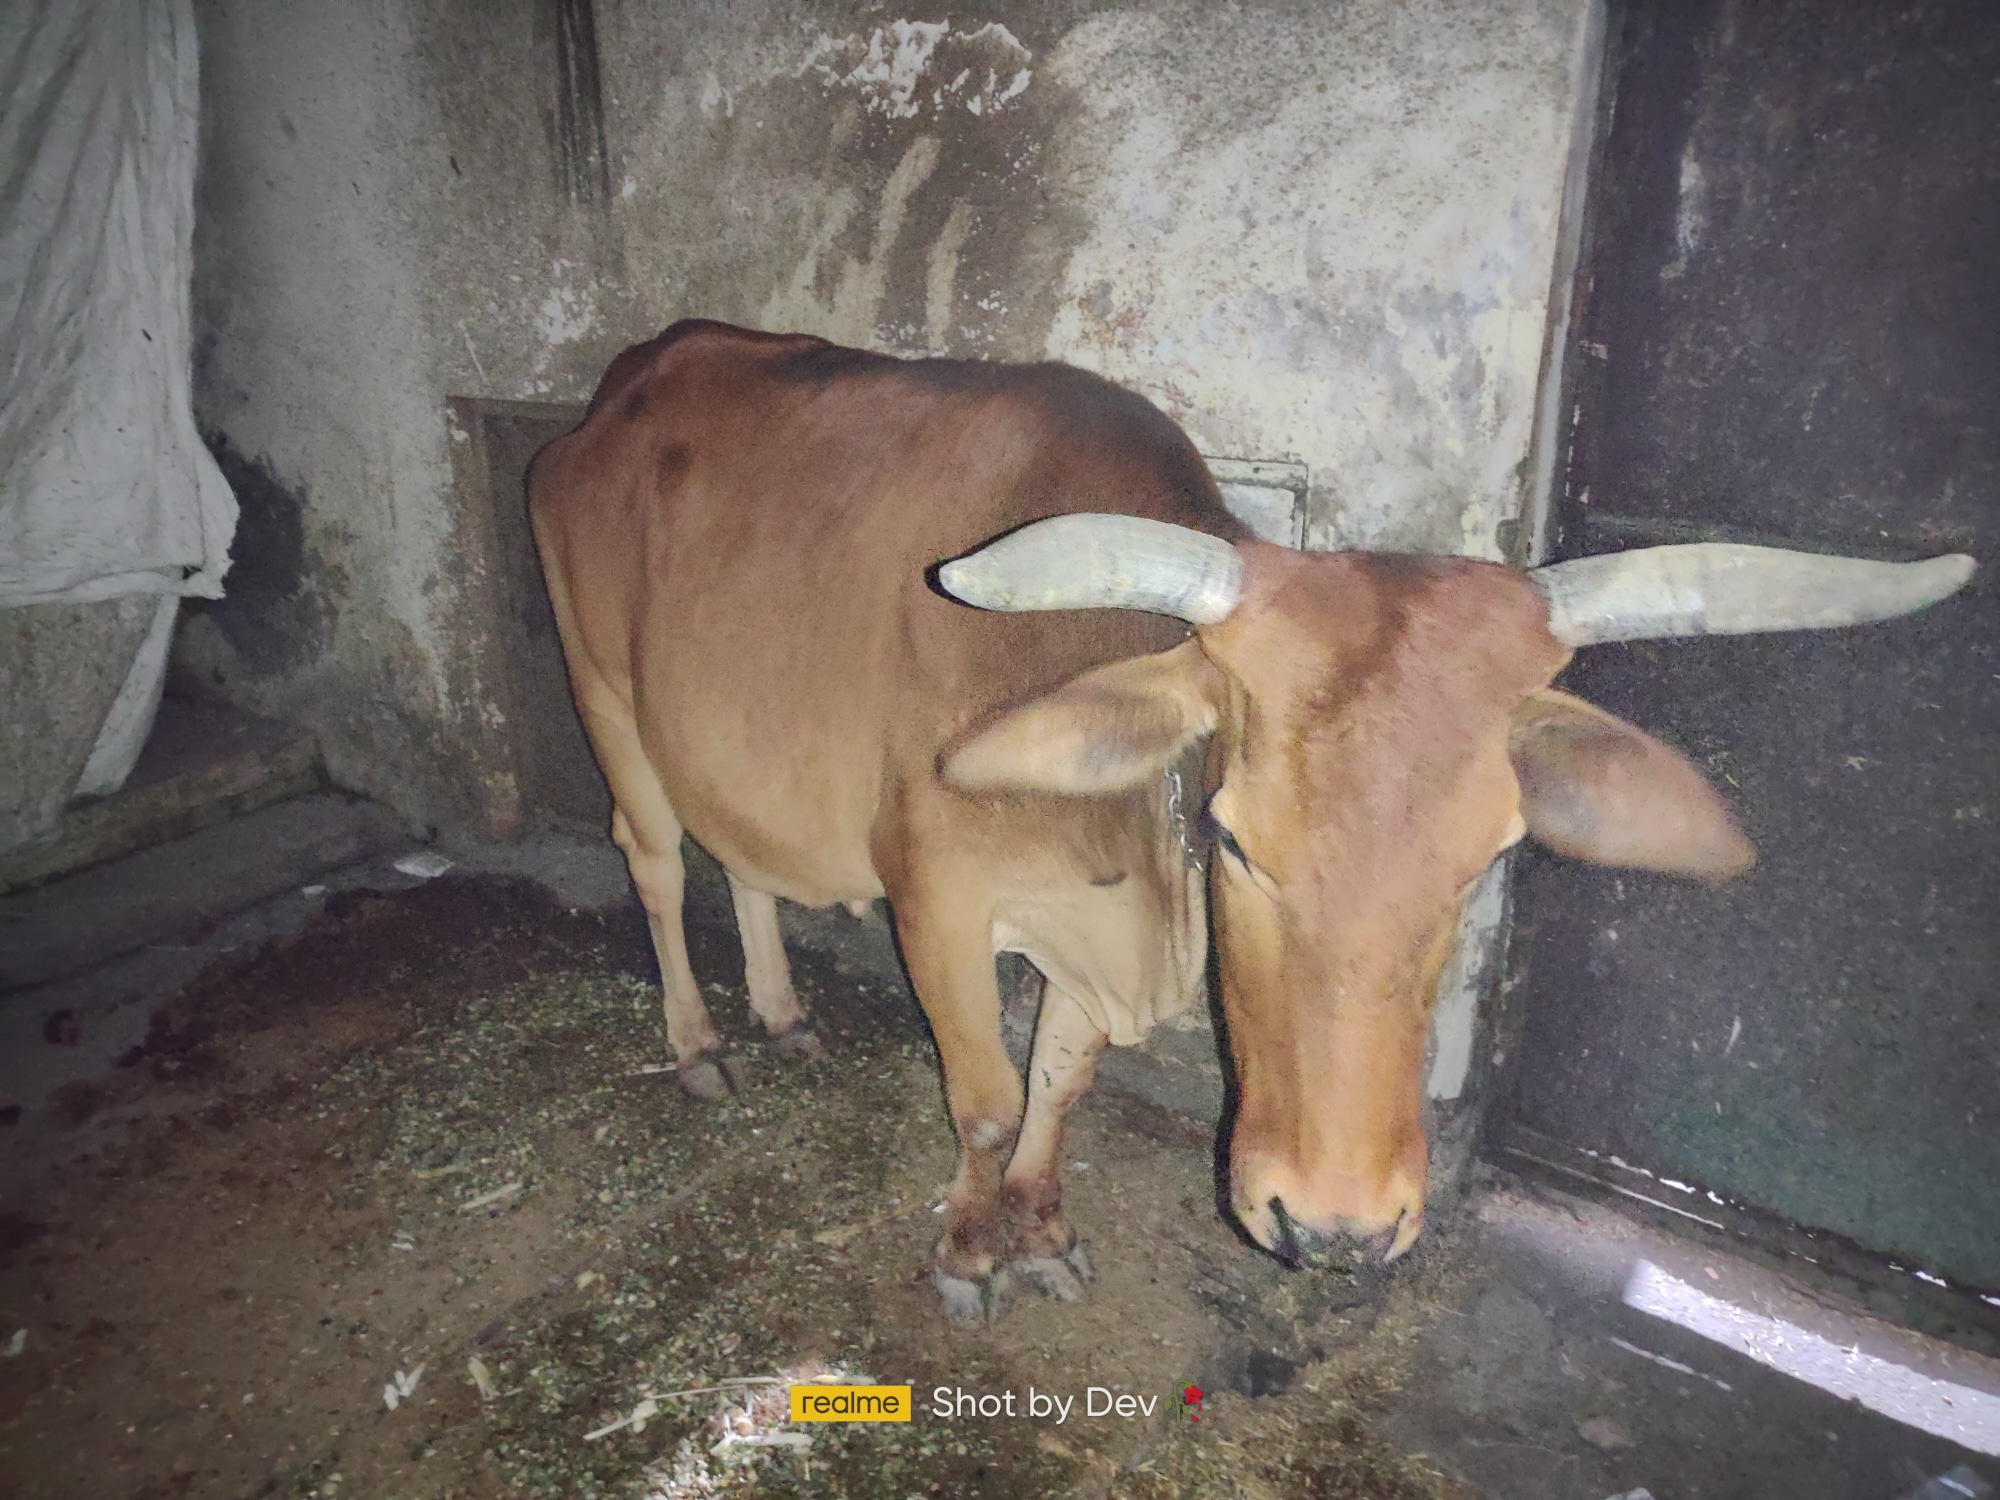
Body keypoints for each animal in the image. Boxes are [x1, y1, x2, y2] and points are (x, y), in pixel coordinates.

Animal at [528, 319, 1972, 1324]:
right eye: (1230, 838)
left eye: (1492, 859)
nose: (1336, 1228)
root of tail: (626, 385)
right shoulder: (933, 891)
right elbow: (985, 1103)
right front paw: (968, 1249)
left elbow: (1059, 1082)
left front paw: (1040, 1231)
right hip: (605, 698)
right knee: (656, 865)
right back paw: (701, 1041)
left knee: (742, 860)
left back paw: (780, 1011)